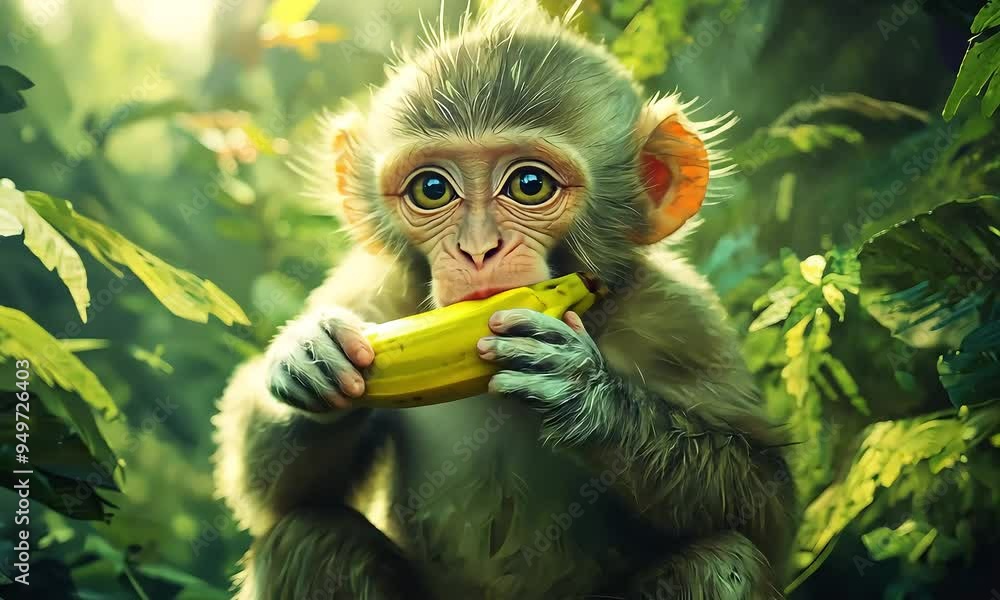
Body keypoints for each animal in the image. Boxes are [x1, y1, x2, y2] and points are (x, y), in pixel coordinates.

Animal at [212, 2, 797, 599]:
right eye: (431, 190)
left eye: (529, 185)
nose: (476, 250)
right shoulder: (374, 288)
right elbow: (278, 495)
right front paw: (311, 355)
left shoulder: (680, 316)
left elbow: (767, 504)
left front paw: (586, 399)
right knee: (307, 536)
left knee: (720, 561)